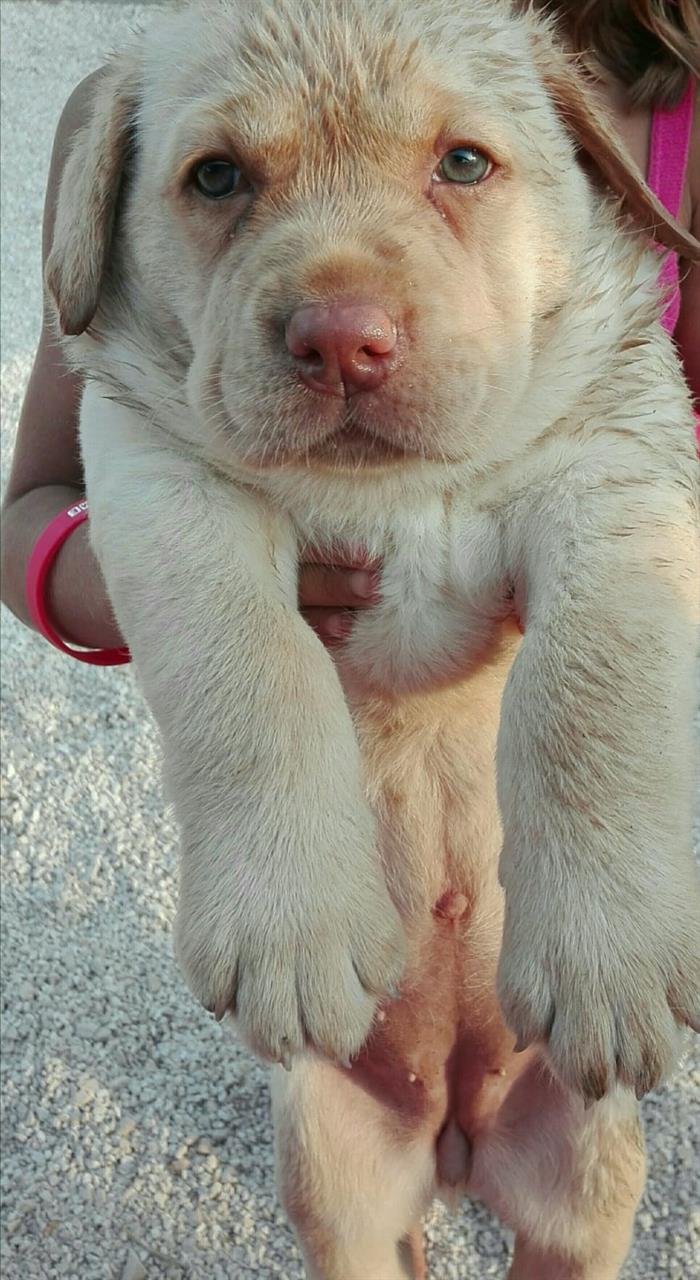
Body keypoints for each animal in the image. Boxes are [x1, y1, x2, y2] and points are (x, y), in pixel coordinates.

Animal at [46, 0, 696, 1274]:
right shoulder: (161, 470)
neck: (392, 491)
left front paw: (605, 948)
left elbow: (589, 687)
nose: (342, 338)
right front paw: (290, 922)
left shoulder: (616, 464)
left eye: (463, 164)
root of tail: (456, 1137)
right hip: (334, 1172)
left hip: (582, 1188)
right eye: (216, 177)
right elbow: (248, 662)